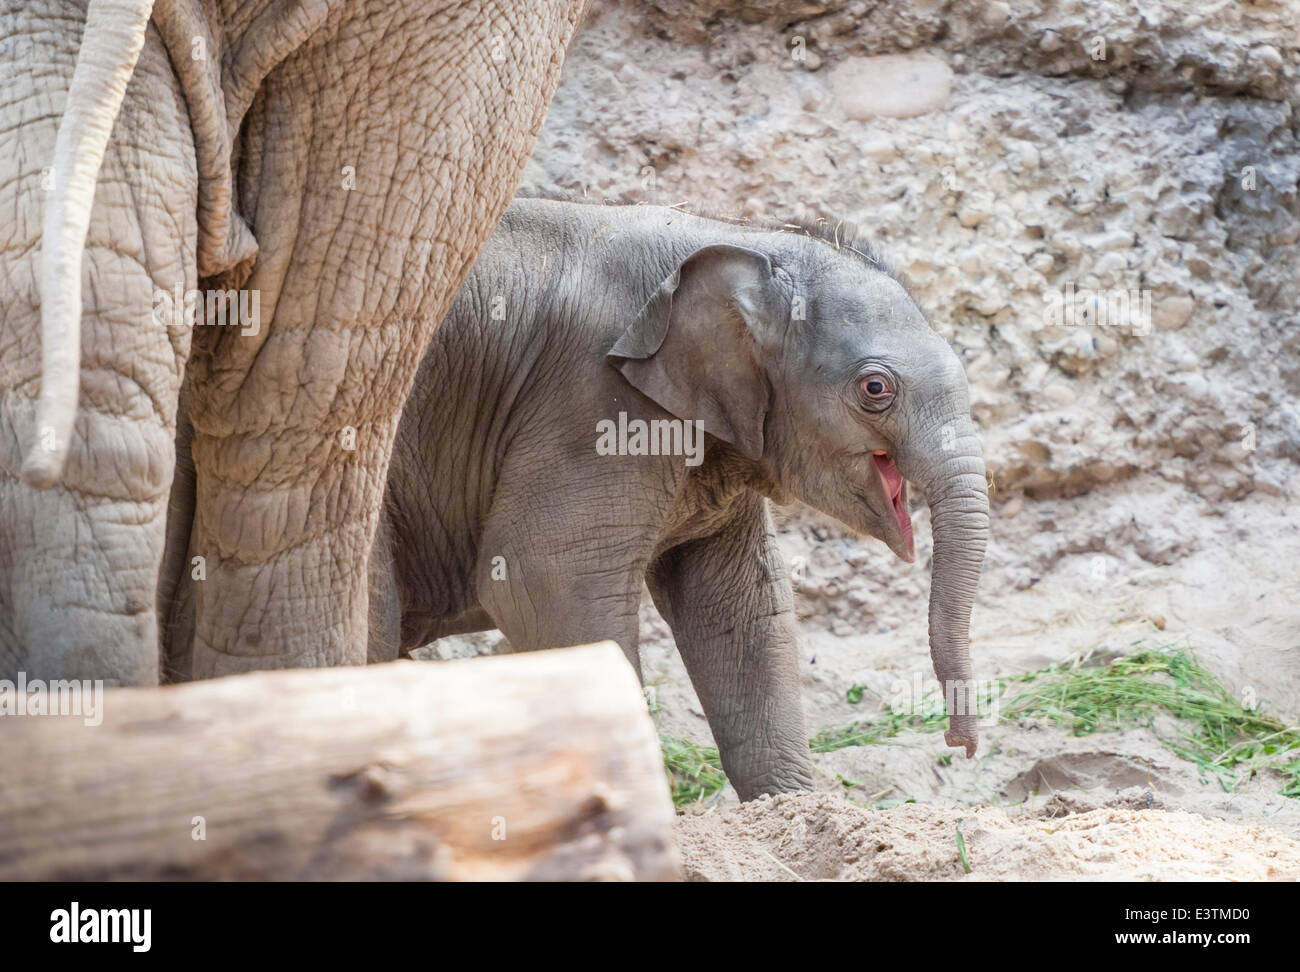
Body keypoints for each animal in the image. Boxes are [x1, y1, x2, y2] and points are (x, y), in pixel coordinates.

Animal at [360, 196, 990, 800]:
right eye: (875, 388)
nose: (960, 745)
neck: (739, 237)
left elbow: (737, 599)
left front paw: (796, 810)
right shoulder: (592, 401)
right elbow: (538, 576)